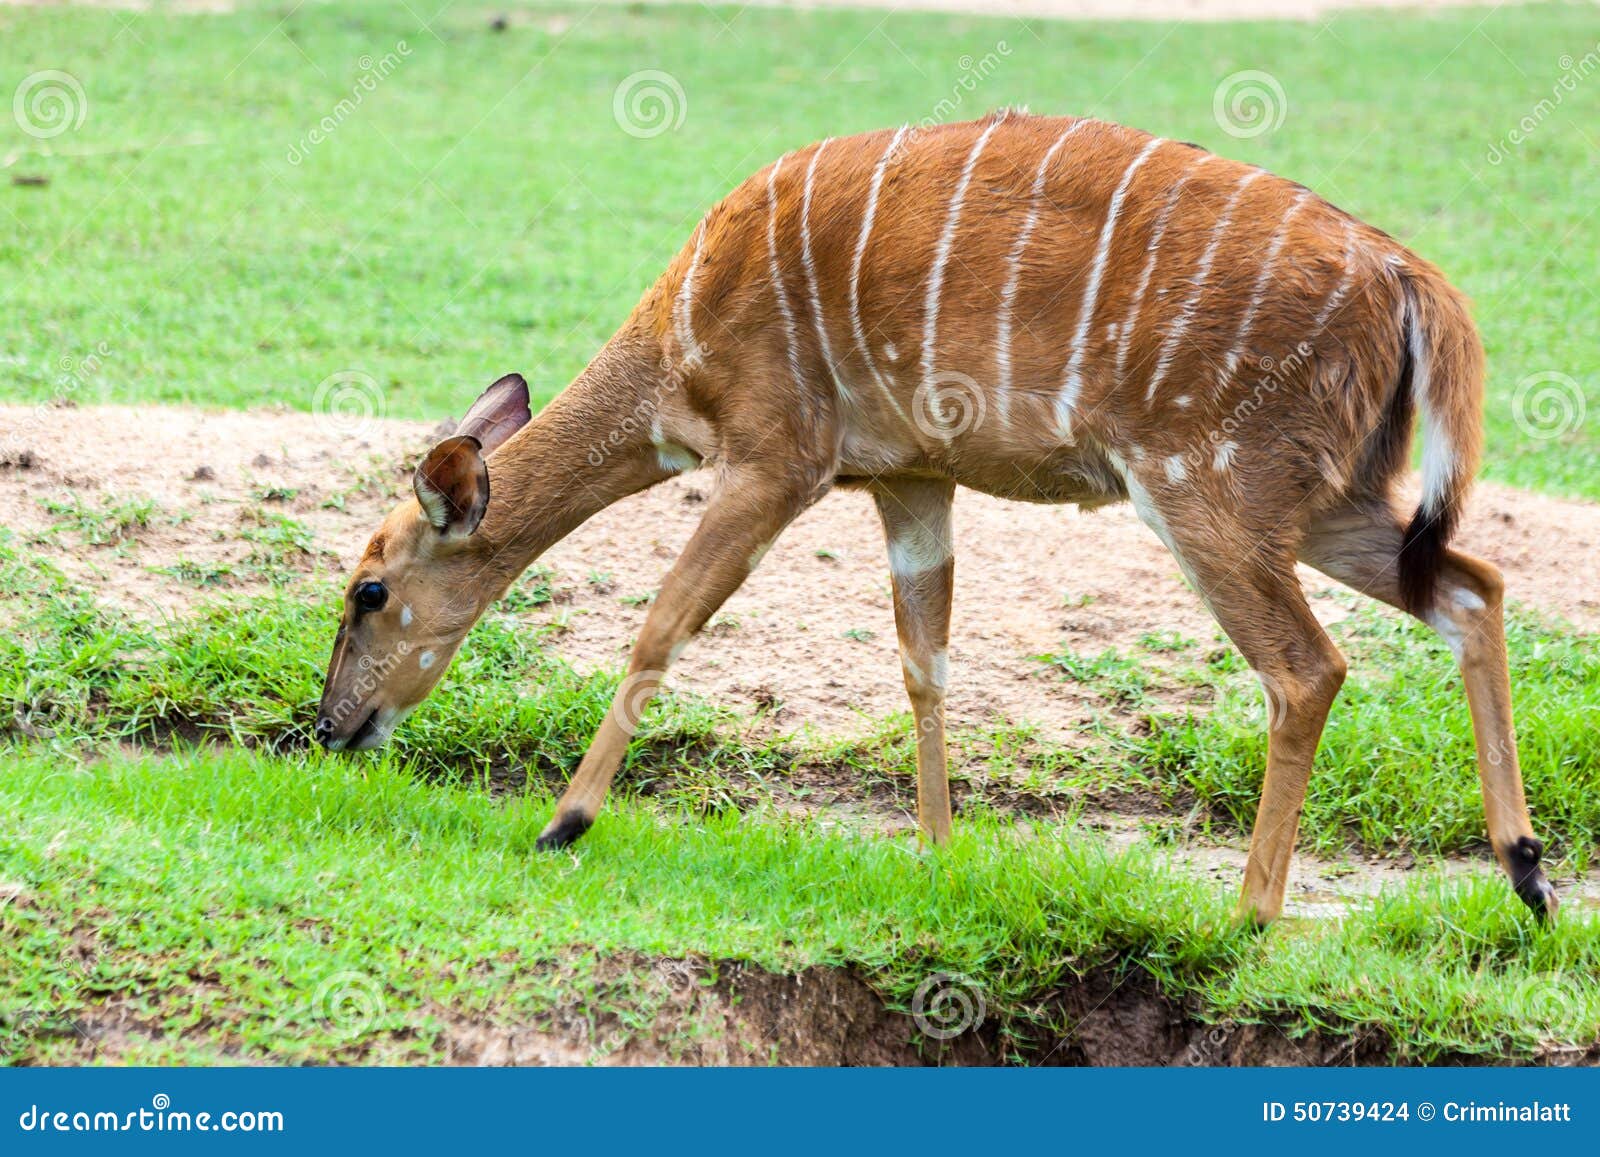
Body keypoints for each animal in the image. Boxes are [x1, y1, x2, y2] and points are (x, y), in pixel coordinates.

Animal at [315, 110, 1556, 925]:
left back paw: (1249, 915)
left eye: (369, 590)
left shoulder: (774, 459)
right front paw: (935, 849)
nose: (331, 728)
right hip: (1327, 501)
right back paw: (1528, 872)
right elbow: (925, 658)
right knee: (1470, 584)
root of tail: (1412, 282)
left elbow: (664, 623)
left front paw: (563, 823)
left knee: (1308, 666)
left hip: (1207, 486)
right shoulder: (908, 478)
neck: (682, 336)